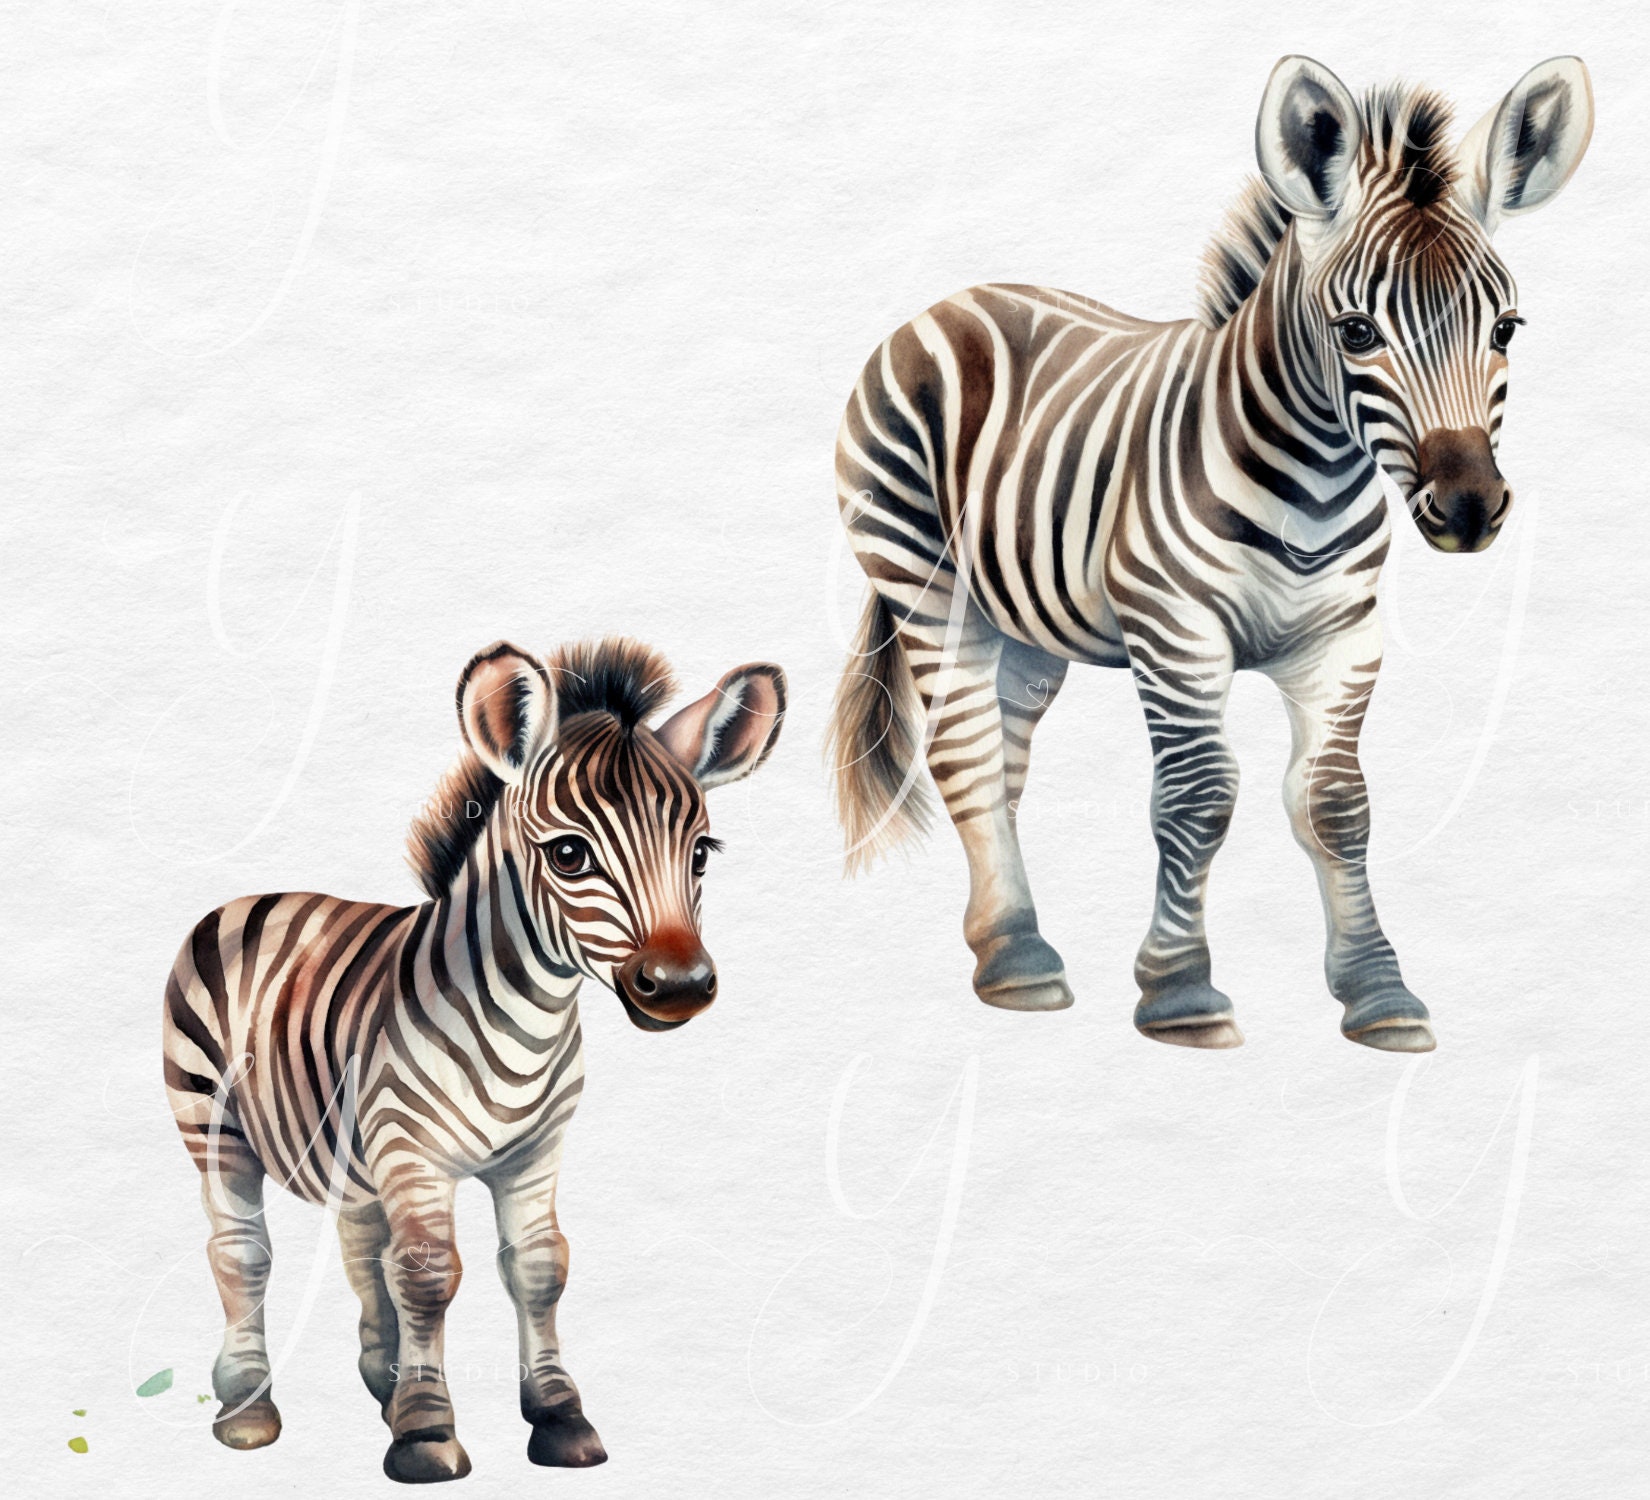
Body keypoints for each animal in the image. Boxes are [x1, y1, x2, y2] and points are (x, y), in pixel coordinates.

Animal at [163, 638, 785, 1483]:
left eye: (701, 855)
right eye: (569, 854)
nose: (682, 986)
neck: (528, 1023)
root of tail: (252, 897)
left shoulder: (535, 1150)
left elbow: (539, 1267)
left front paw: (557, 1414)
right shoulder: (413, 1149)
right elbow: (428, 1273)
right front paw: (426, 1430)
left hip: (351, 1146)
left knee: (361, 1247)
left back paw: (381, 1379)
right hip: (214, 1124)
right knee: (241, 1254)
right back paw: (248, 1407)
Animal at [828, 56, 1592, 1052]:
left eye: (1506, 330)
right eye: (1356, 333)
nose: (1469, 506)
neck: (1311, 486)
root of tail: (955, 299)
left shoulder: (1344, 640)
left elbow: (1337, 805)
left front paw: (1378, 993)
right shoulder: (1176, 631)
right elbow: (1197, 797)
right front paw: (1180, 990)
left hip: (1025, 621)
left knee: (1002, 759)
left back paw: (1009, 935)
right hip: (923, 578)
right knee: (963, 752)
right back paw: (1018, 963)